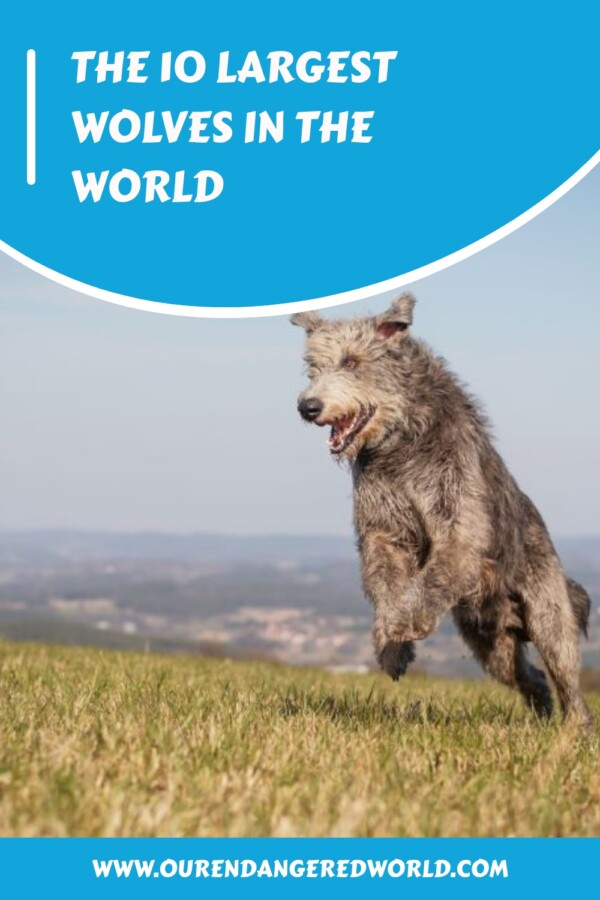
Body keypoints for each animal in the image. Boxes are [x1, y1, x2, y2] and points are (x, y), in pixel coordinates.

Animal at [292, 294, 593, 729]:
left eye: (351, 361)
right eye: (312, 368)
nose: (308, 406)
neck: (400, 445)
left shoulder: (458, 525)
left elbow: (433, 578)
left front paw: (406, 623)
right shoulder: (383, 530)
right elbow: (386, 585)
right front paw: (391, 647)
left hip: (547, 614)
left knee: (567, 679)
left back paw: (576, 730)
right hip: (491, 643)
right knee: (530, 676)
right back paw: (540, 716)